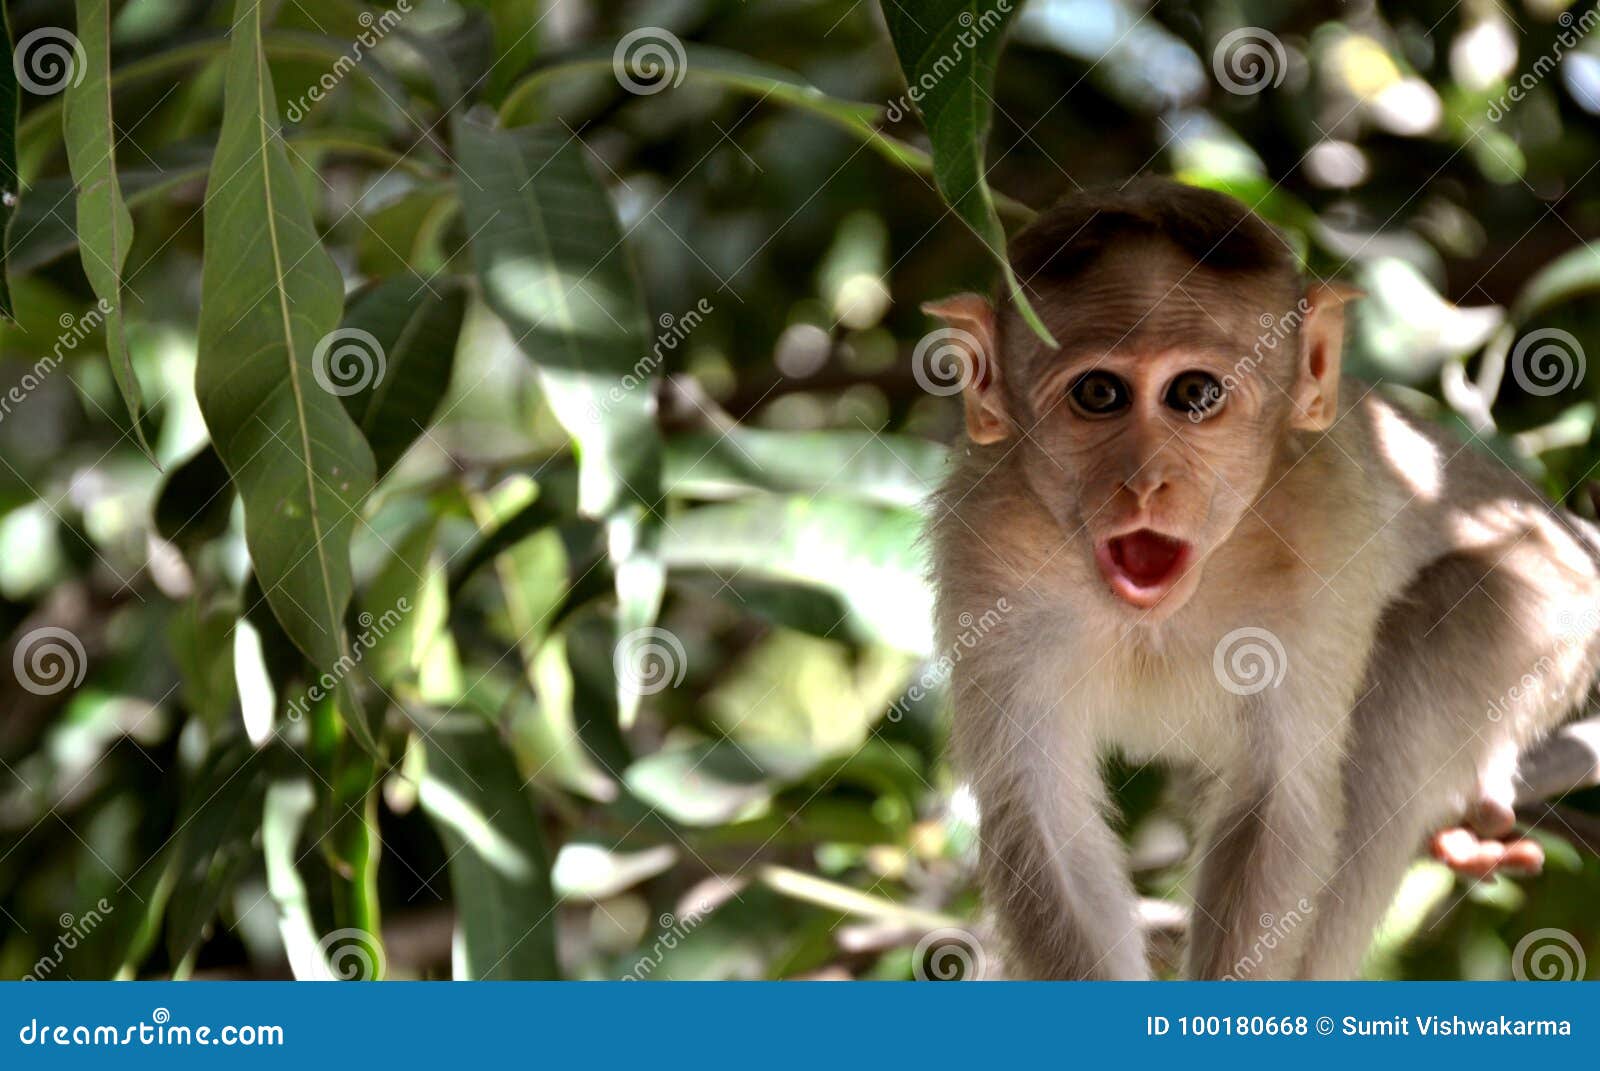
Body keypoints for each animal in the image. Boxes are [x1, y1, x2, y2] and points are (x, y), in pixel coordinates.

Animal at [923, 178, 1600, 980]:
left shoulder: (1325, 527)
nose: (1146, 482)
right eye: (1098, 394)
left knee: (1400, 700)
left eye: (1195, 394)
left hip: (1558, 617)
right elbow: (1037, 812)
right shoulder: (983, 550)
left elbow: (1284, 801)